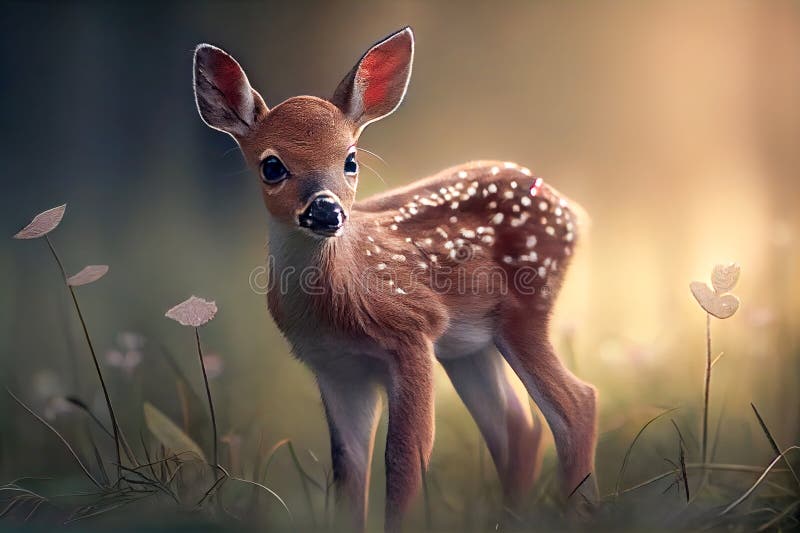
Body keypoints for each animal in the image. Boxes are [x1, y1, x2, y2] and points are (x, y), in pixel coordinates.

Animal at [193, 27, 598, 532]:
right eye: (272, 165)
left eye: (350, 160)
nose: (326, 211)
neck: (339, 304)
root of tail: (572, 210)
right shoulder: (337, 369)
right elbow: (348, 468)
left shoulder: (412, 332)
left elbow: (404, 458)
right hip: (470, 346)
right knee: (517, 427)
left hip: (526, 308)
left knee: (577, 404)